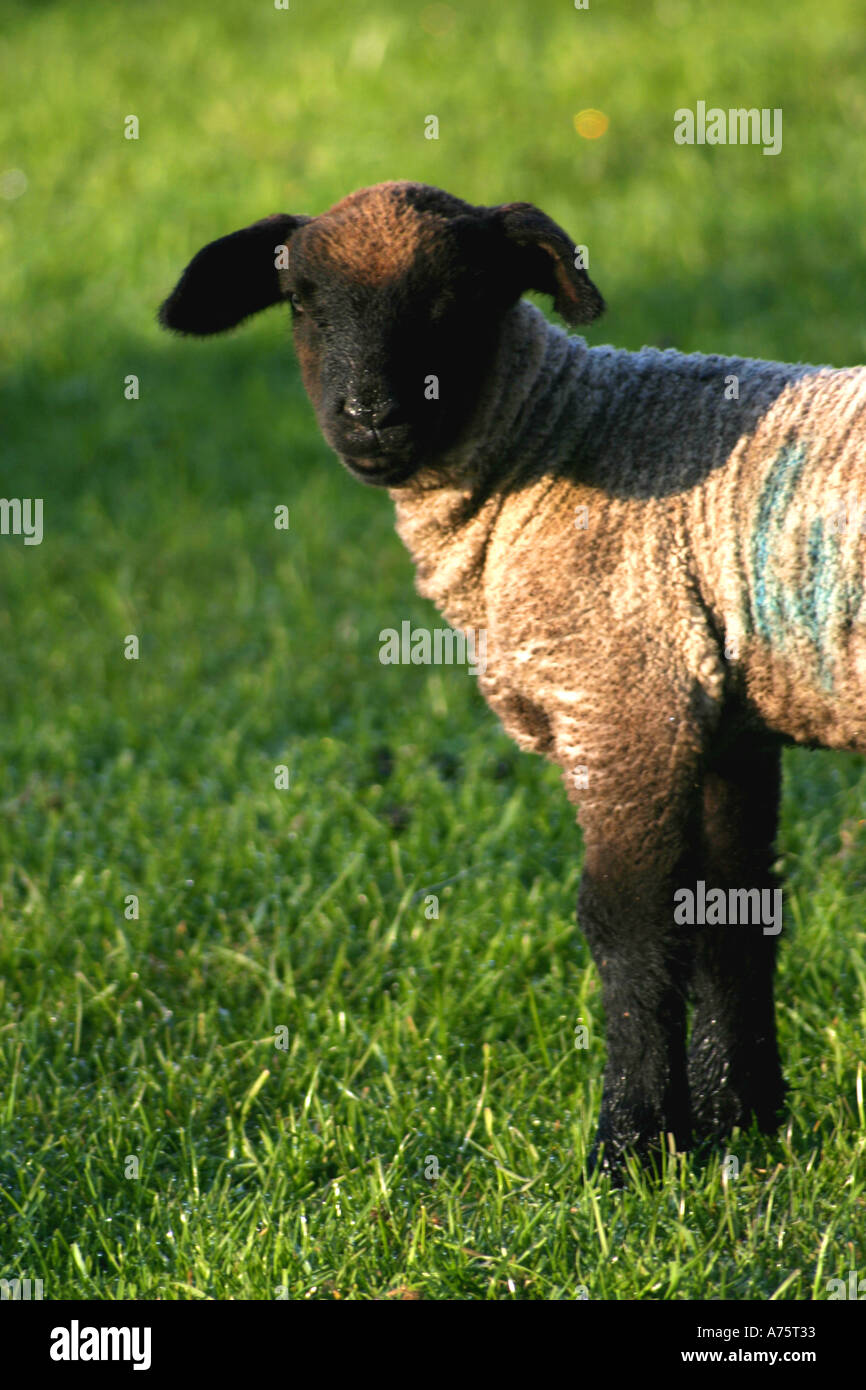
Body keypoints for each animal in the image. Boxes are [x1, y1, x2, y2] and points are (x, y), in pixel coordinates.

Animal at [159, 180, 866, 1176]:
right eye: (300, 300)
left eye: (459, 297)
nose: (370, 413)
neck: (555, 441)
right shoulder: (723, 716)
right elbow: (737, 914)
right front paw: (742, 1122)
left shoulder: (625, 698)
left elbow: (632, 925)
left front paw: (630, 1149)